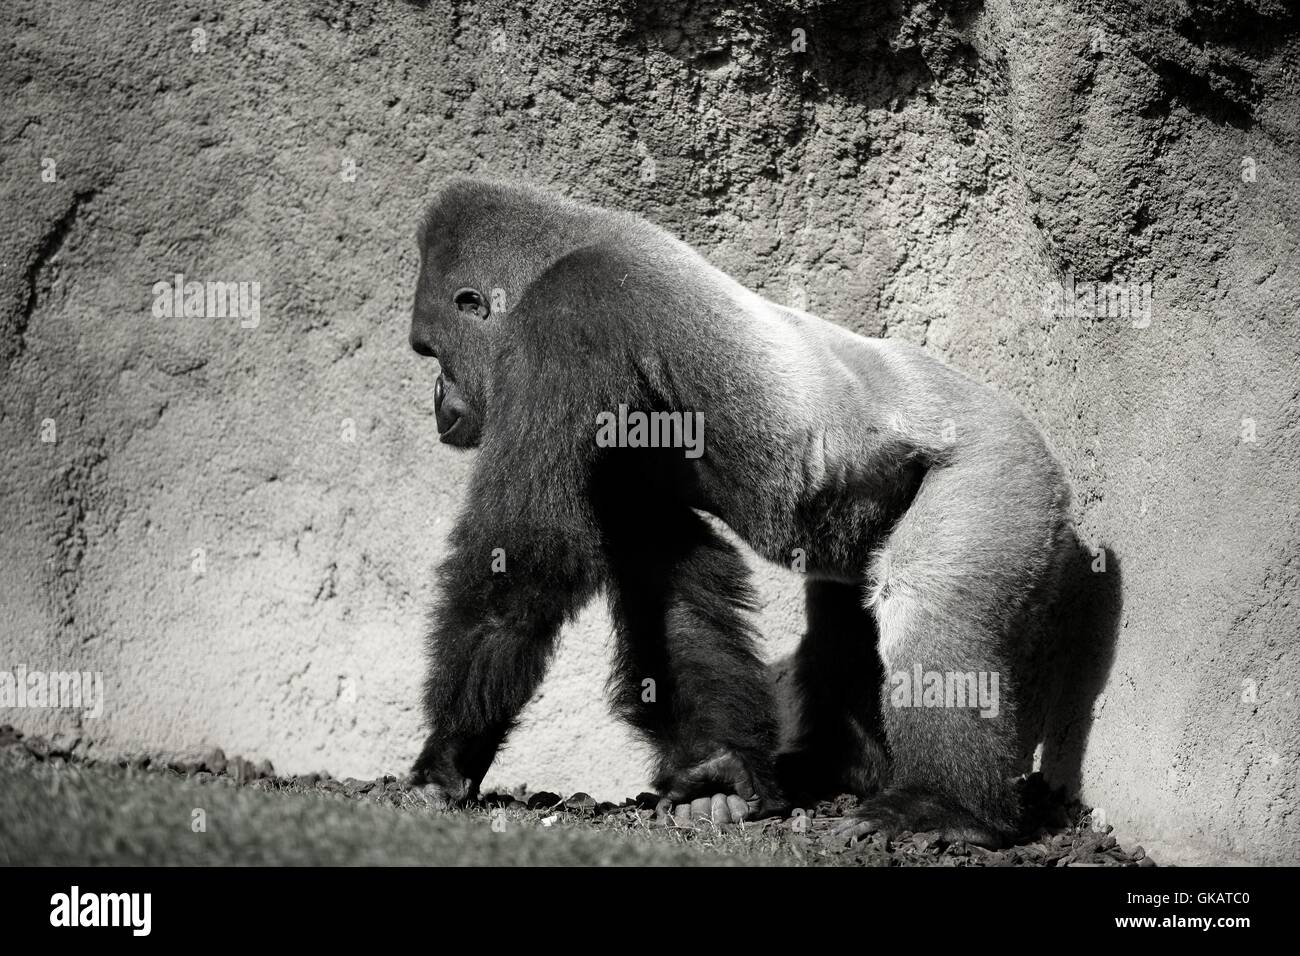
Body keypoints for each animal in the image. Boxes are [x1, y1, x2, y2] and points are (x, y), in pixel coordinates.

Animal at [406, 176, 1072, 845]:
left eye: (430, 352)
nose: (436, 397)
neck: (556, 254)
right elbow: (665, 572)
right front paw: (716, 771)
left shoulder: (567, 323)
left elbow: (527, 553)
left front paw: (448, 754)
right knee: (843, 620)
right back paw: (841, 768)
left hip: (1001, 459)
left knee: (929, 600)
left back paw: (945, 806)